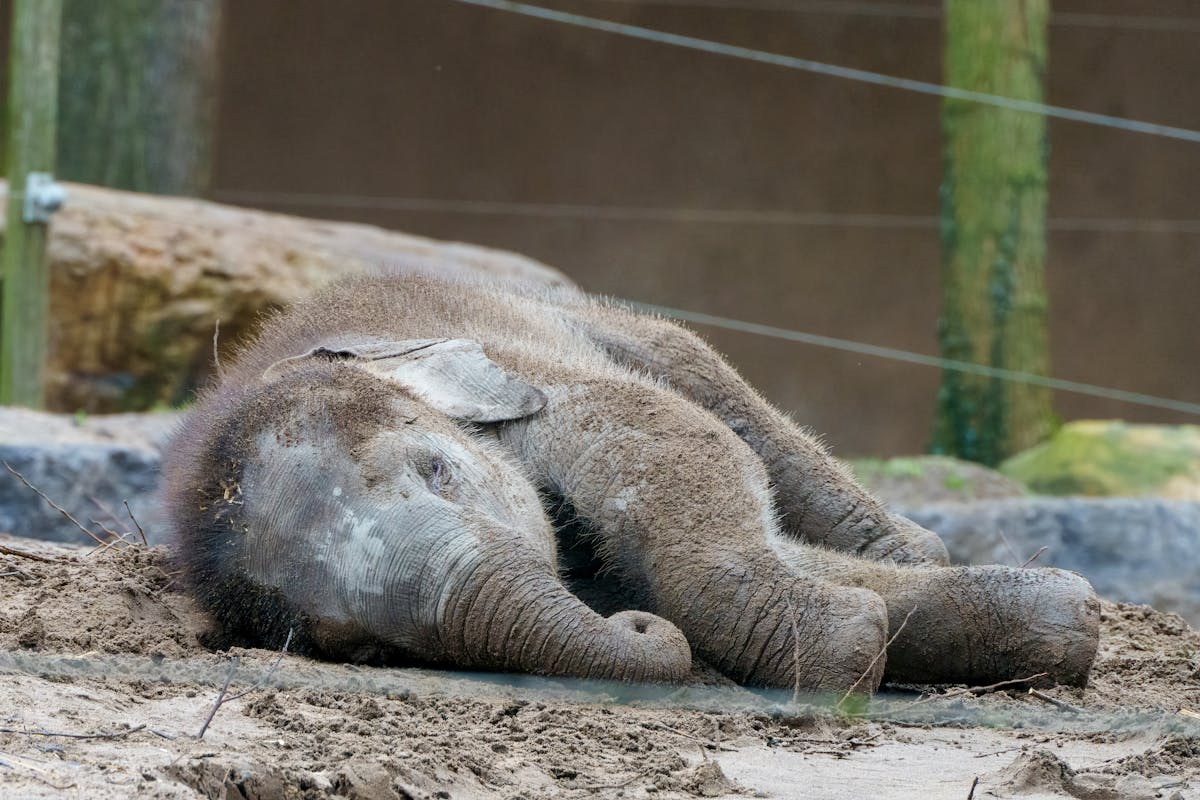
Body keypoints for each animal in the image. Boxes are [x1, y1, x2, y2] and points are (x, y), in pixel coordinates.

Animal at [163, 274, 1099, 694]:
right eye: (363, 647)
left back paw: (918, 550)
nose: (634, 621)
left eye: (437, 468)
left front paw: (851, 643)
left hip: (599, 321)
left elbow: (681, 446)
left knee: (710, 390)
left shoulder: (534, 371)